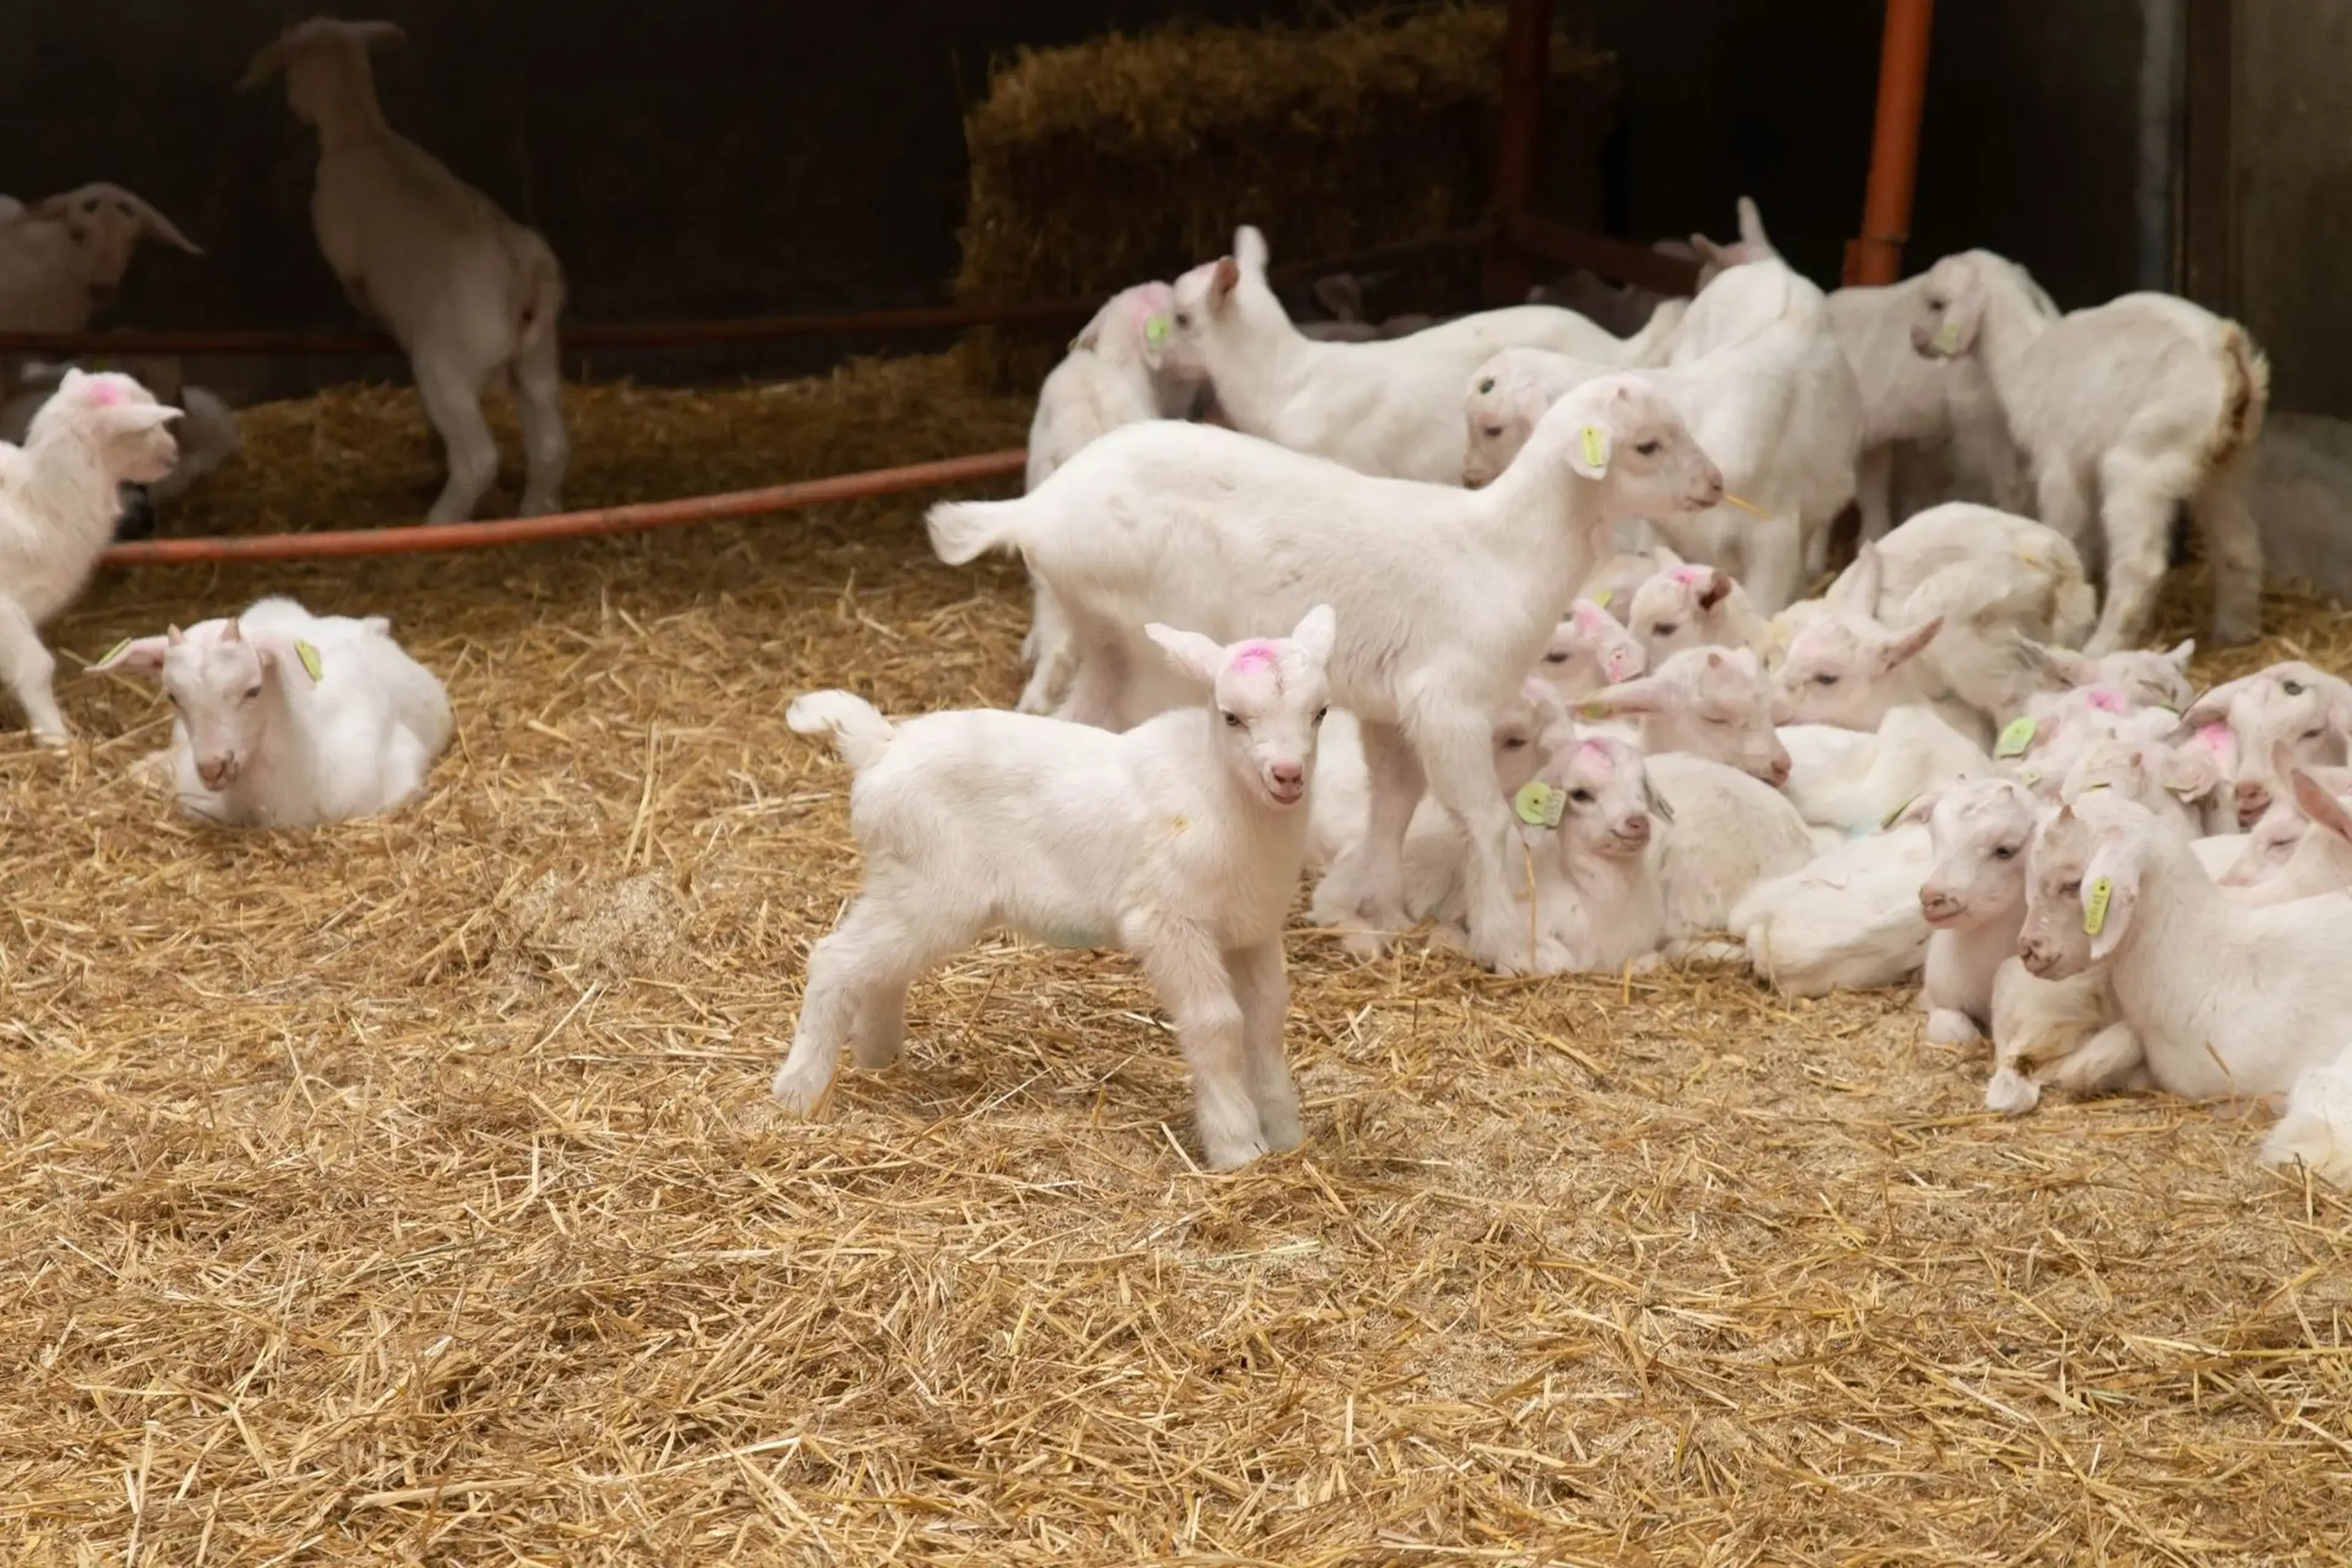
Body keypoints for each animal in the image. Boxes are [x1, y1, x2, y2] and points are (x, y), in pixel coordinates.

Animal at [1, 370, 181, 743]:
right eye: (144, 428)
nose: (173, 453)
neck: (38, 505)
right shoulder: (4, 605)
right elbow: (37, 666)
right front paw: (57, 739)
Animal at [242, 18, 568, 525]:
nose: (294, 108)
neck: (362, 134)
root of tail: (524, 273)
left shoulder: (339, 243)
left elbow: (353, 282)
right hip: (538, 357)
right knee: (551, 441)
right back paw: (535, 512)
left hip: (445, 365)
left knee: (479, 458)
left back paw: (440, 523)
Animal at [773, 606, 1337, 1172]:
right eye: (1231, 717)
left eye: (1321, 713)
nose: (1288, 776)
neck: (1222, 794)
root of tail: (880, 747)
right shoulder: (1168, 922)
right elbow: (1217, 1024)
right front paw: (1238, 1146)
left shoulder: (1252, 932)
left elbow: (1266, 1023)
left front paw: (1286, 1133)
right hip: (929, 886)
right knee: (836, 959)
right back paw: (798, 1091)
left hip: (903, 883)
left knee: (881, 967)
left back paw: (877, 1053)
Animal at [927, 374, 1723, 973]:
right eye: (1648, 445)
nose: (1716, 485)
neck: (1503, 552)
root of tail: (1039, 509)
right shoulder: (1449, 703)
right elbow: (1485, 822)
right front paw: (1507, 945)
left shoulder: (1390, 706)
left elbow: (1394, 802)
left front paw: (1382, 909)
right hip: (1161, 640)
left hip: (1106, 634)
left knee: (1076, 722)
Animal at [1912, 250, 2268, 654]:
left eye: (1936, 303)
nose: (1916, 340)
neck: (2025, 354)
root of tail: (2227, 360)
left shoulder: (2057, 463)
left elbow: (2066, 529)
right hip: (2229, 467)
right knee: (2240, 543)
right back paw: (2237, 632)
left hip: (2143, 461)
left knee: (2141, 566)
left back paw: (2103, 645)